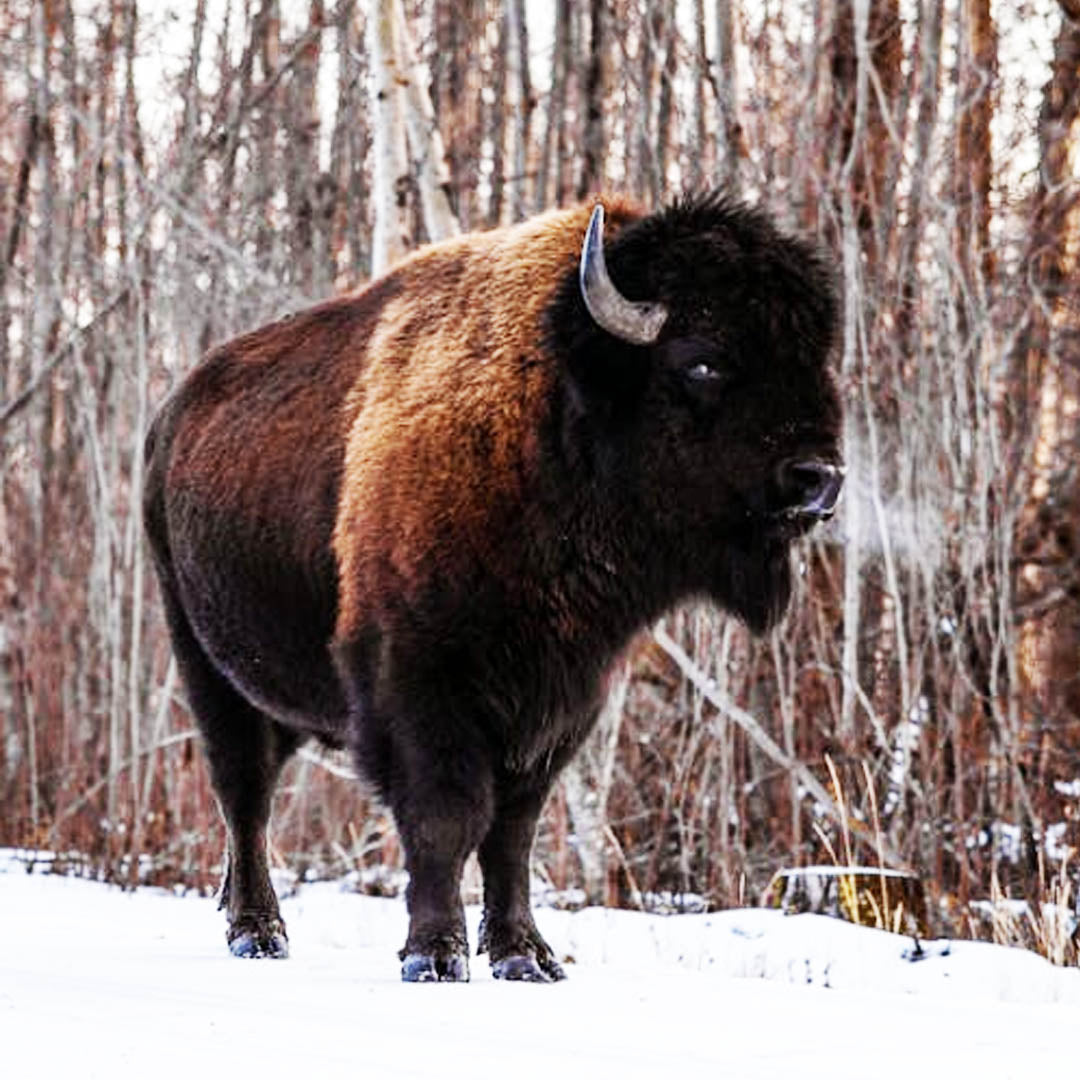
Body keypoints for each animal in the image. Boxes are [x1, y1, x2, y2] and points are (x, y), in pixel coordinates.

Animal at [143, 193, 843, 982]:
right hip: (207, 671)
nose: (817, 477)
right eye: (703, 360)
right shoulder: (419, 683)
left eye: (816, 357)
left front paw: (526, 956)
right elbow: (446, 818)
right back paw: (259, 933)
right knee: (246, 797)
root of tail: (170, 421)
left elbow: (513, 830)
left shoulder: (561, 698)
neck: (555, 419)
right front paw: (434, 955)